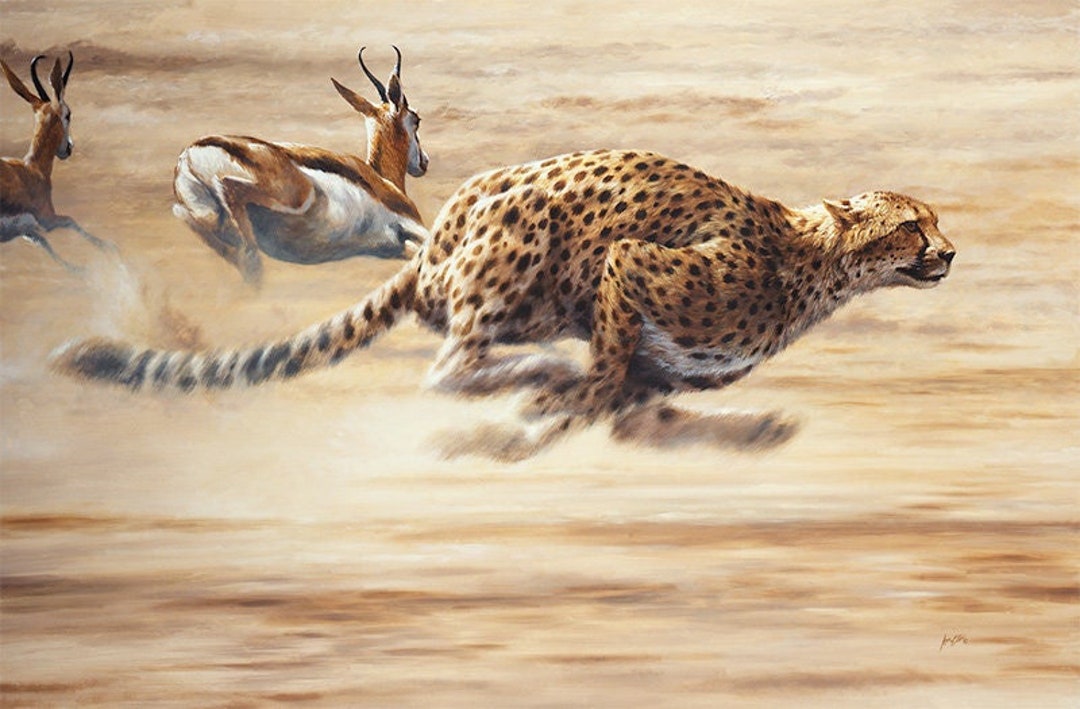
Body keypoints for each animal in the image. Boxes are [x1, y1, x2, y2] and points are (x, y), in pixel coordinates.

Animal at [51, 149, 955, 460]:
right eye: (912, 225)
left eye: (936, 221)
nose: (949, 252)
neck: (818, 264)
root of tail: (434, 238)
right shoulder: (629, 263)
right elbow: (604, 382)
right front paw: (555, 402)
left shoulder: (663, 373)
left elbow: (642, 414)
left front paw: (753, 427)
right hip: (527, 248)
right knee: (451, 364)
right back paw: (539, 370)